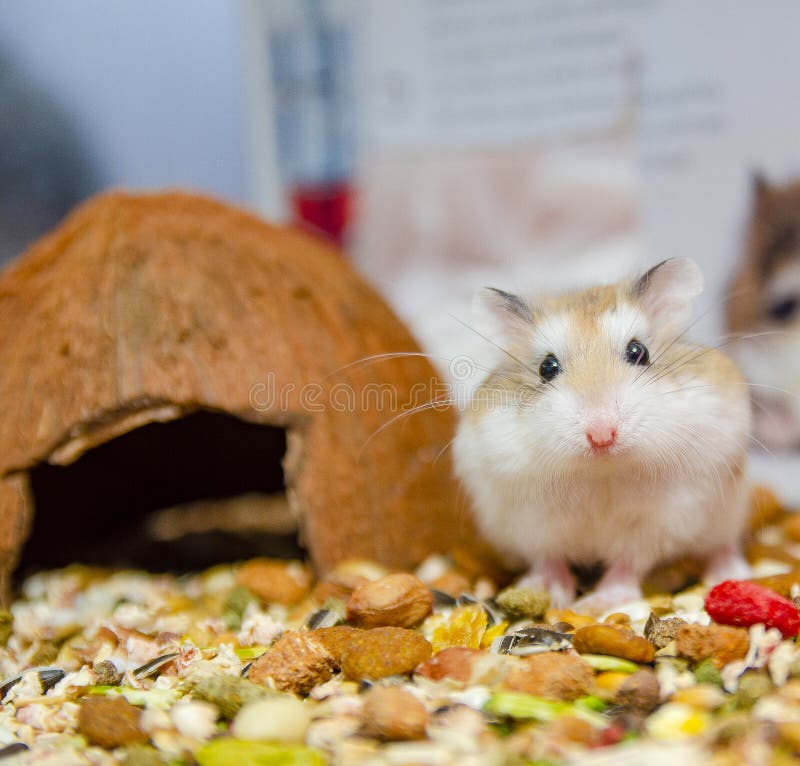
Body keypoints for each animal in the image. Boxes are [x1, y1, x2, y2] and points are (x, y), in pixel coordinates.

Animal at [453, 258, 751, 613]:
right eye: (546, 368)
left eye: (638, 352)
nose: (601, 435)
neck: (601, 472)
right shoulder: (531, 520)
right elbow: (548, 557)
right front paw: (550, 592)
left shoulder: (655, 522)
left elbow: (626, 563)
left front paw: (595, 604)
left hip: (729, 511)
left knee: (723, 545)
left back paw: (731, 572)